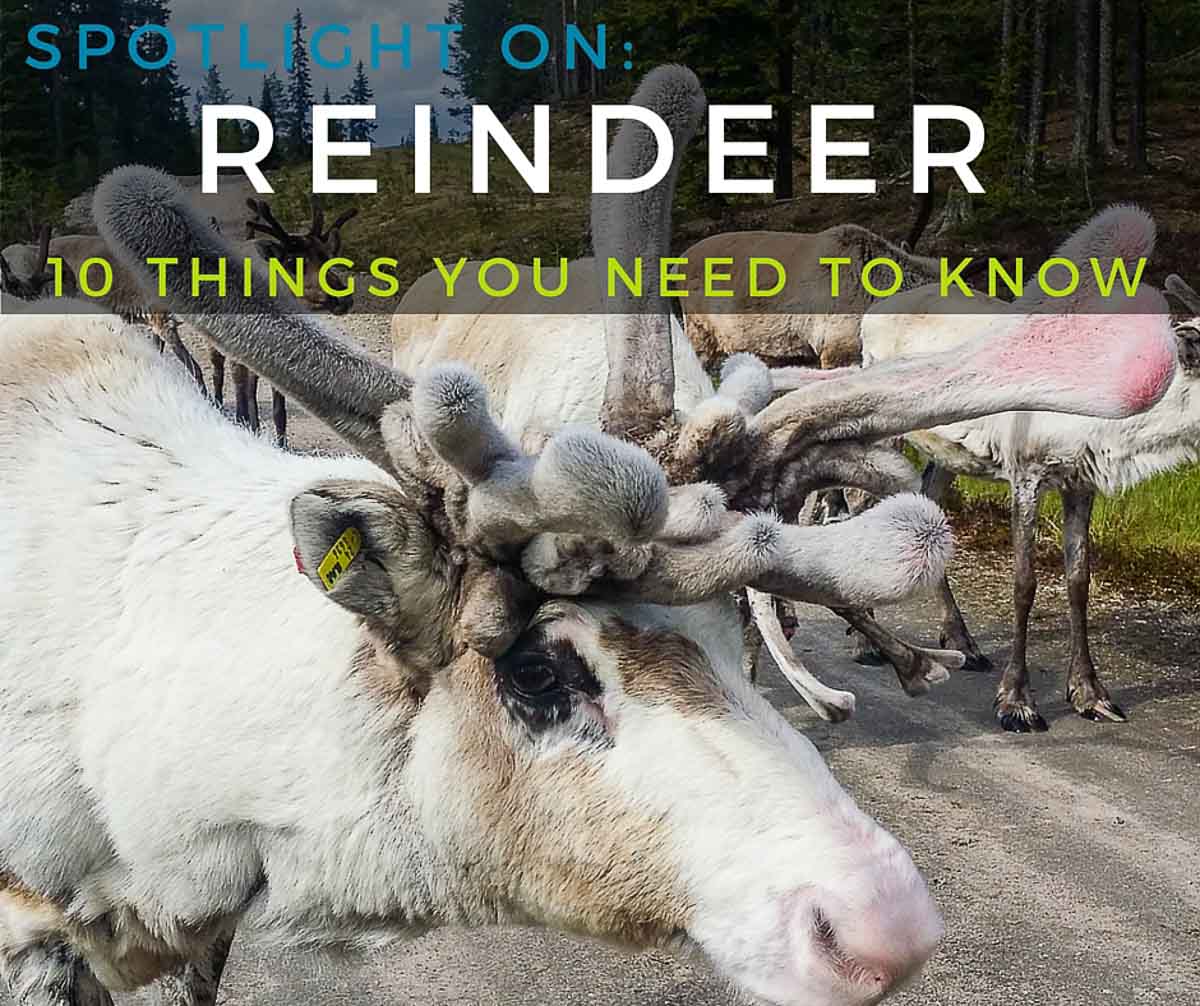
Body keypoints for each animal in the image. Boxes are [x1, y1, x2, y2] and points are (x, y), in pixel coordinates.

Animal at [857, 204, 1195, 732]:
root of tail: (873, 313)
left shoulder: (1080, 482)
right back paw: (866, 640)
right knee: (848, 501)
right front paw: (1017, 701)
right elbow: (1025, 582)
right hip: (883, 424)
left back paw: (963, 641)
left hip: (946, 453)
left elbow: (1078, 581)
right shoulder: (1027, 473)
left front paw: (1090, 694)